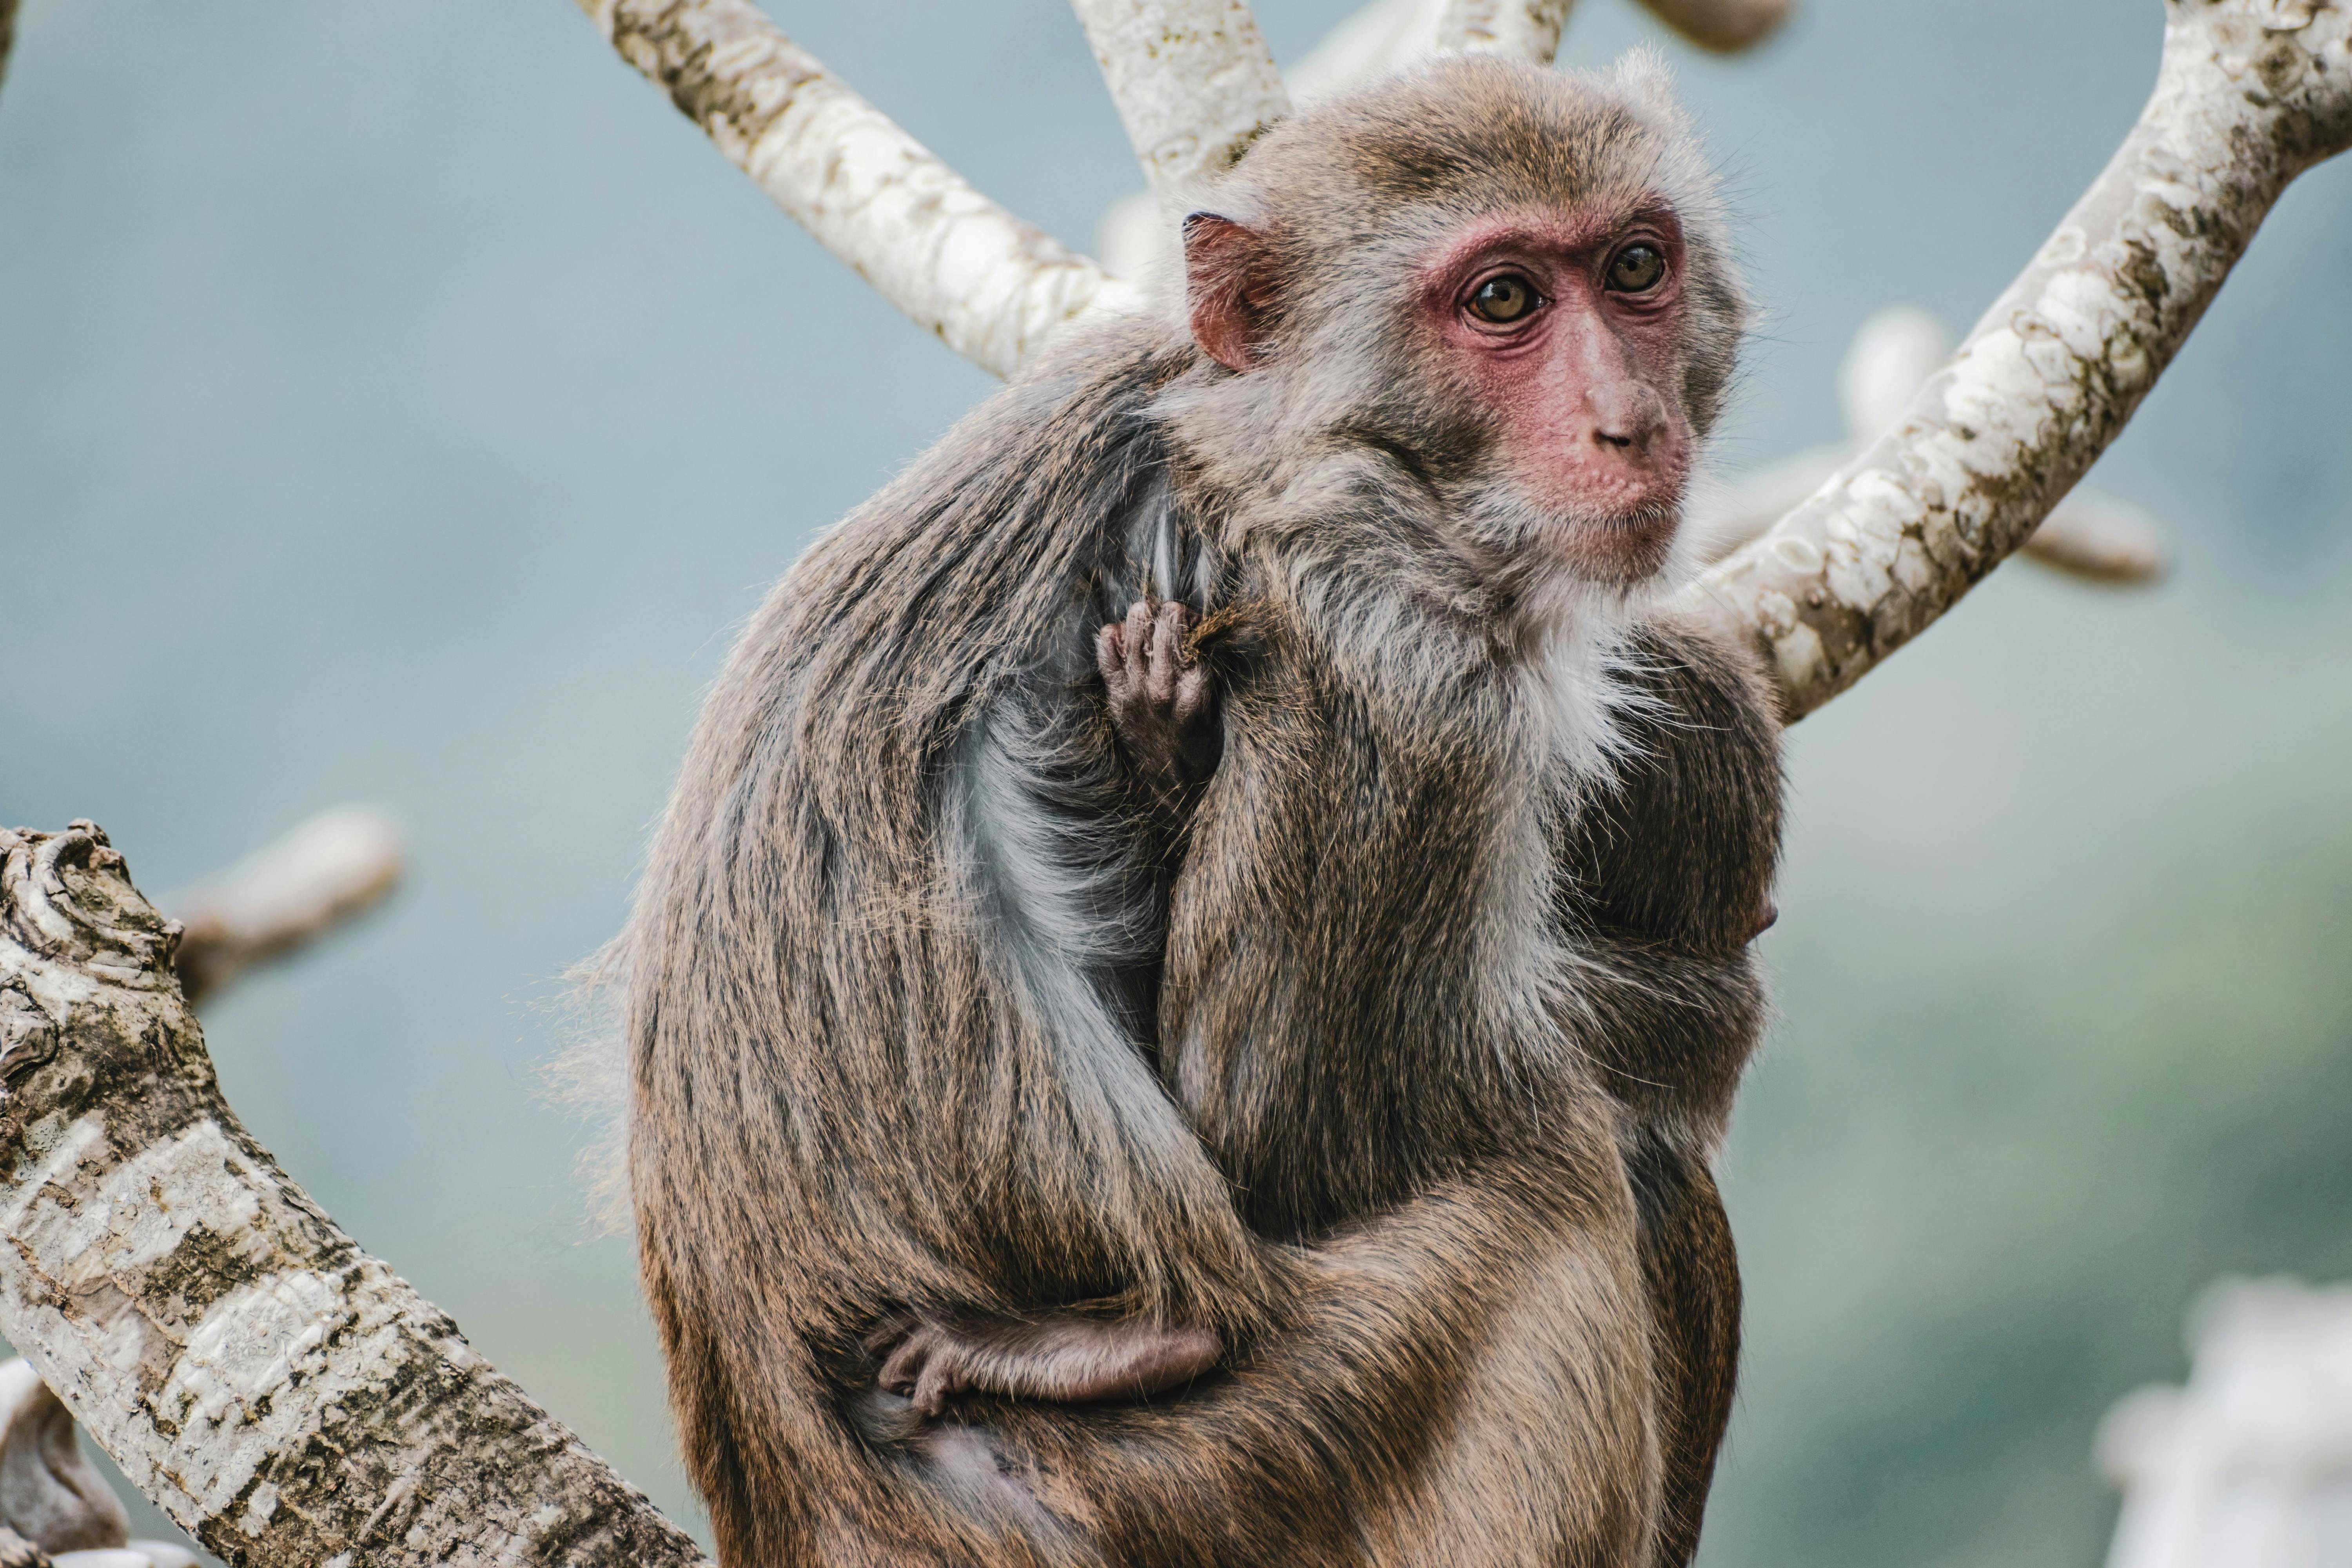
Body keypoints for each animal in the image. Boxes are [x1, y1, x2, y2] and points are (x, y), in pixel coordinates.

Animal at [618, 50, 1779, 1568]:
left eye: (1634, 266)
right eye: (1502, 301)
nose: (1630, 426)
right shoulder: (1398, 644)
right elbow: (1295, 1127)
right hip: (1234, 1469)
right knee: (1566, 1174)